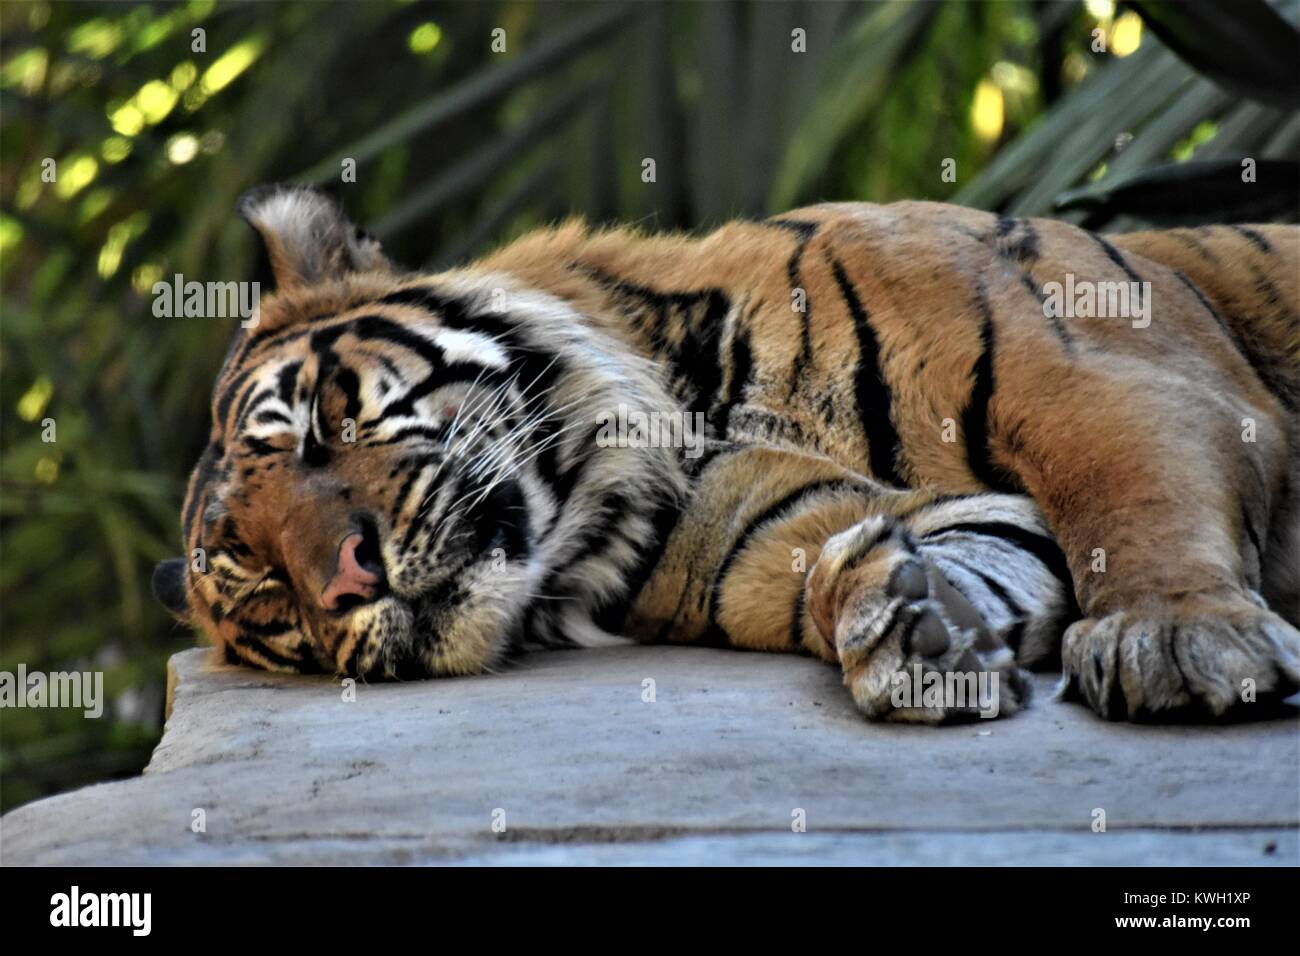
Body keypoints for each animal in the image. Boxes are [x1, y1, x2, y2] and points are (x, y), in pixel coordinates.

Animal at [151, 183, 1300, 723]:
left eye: (318, 420)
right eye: (264, 588)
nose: (345, 583)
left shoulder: (1088, 364)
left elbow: (1132, 496)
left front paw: (1177, 640)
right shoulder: (800, 528)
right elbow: (886, 560)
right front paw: (917, 629)